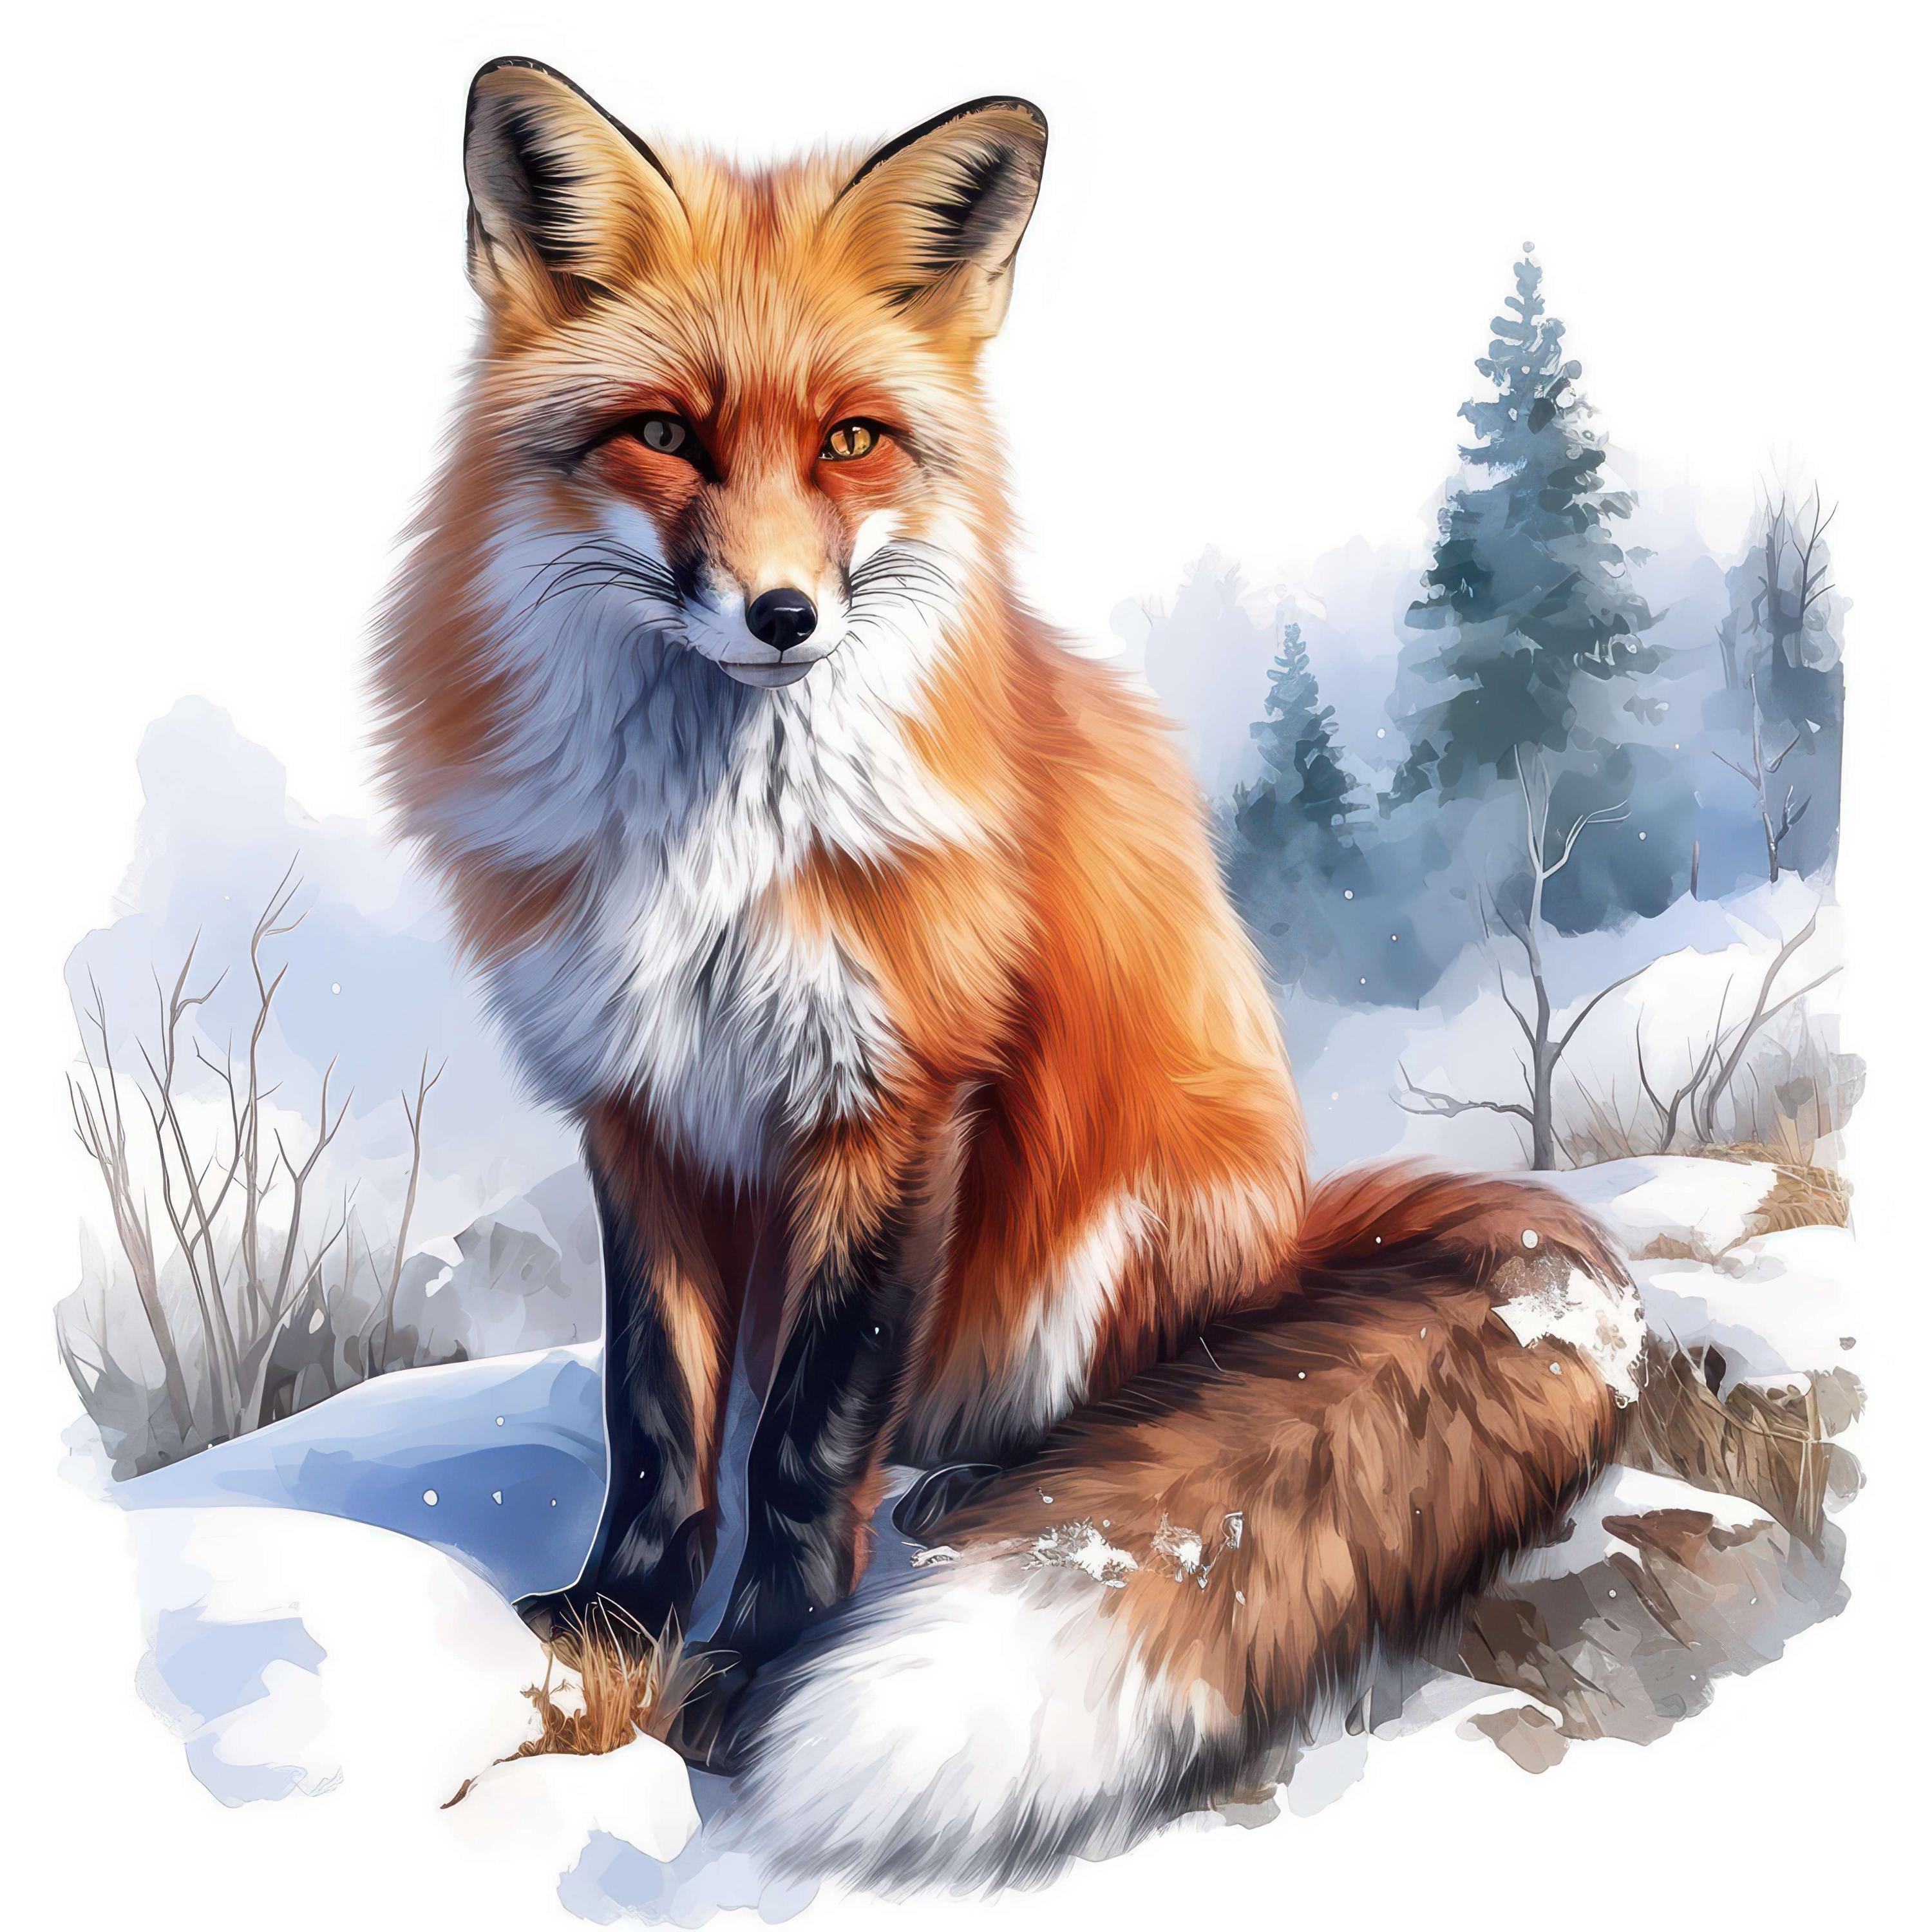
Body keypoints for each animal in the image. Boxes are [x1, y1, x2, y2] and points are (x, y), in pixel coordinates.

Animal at [374, 58, 1644, 1890]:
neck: (709, 857)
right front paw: (612, 1622)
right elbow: (654, 1417)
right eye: (664, 434)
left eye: (850, 439)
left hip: (1111, 1212)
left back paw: (986, 1491)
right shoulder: (641, 1105)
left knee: (1135, 1401)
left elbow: (806, 1432)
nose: (780, 615)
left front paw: (760, 1668)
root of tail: (1297, 1223)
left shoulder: (896, 1095)